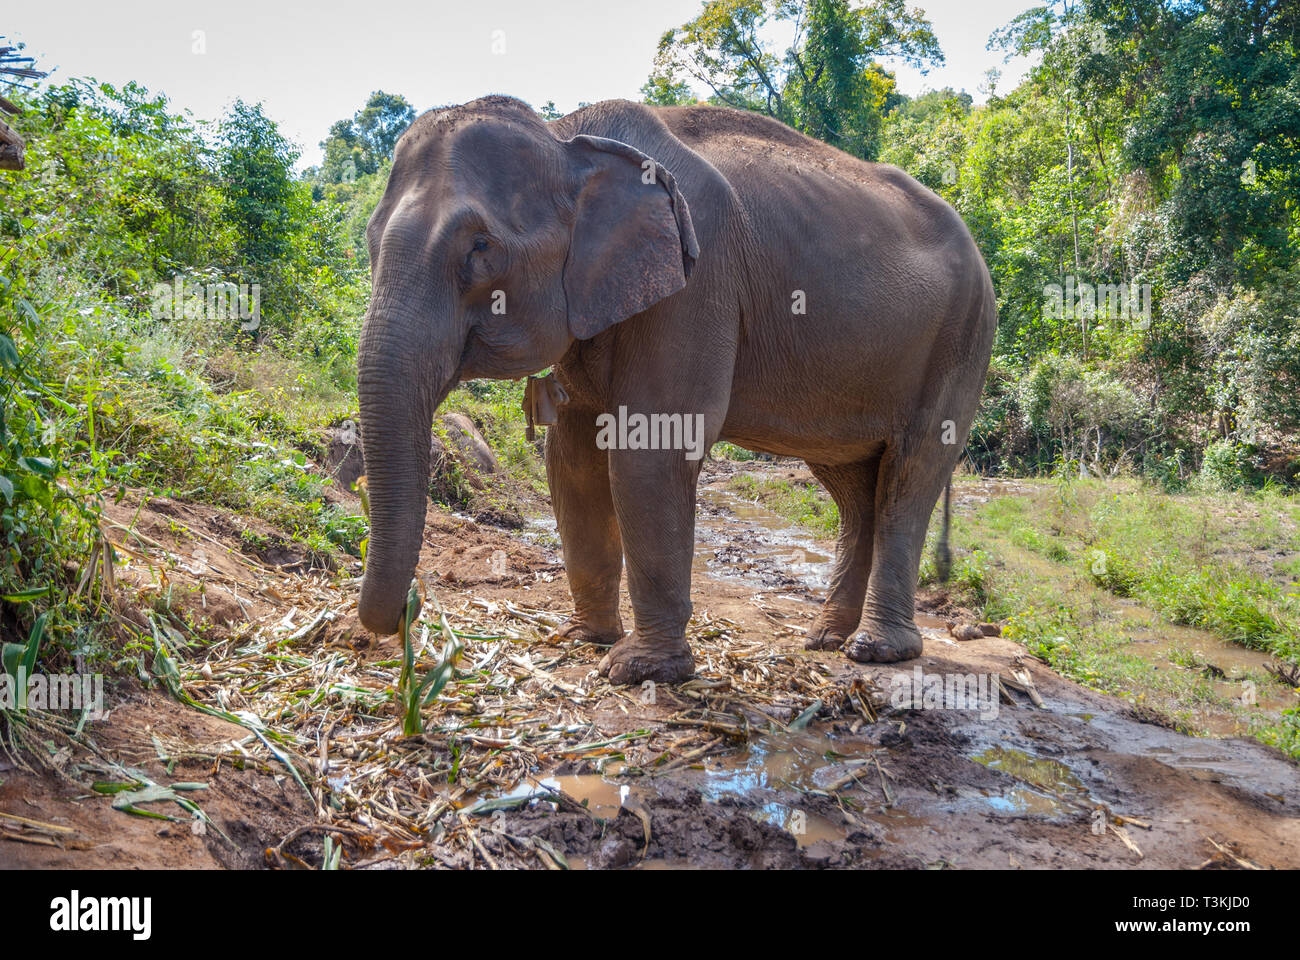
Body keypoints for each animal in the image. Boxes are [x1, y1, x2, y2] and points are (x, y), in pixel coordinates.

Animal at [355, 95, 996, 686]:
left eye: (479, 247)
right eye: (369, 240)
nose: (410, 614)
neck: (567, 139)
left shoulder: (697, 282)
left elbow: (648, 451)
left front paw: (637, 668)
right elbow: (573, 460)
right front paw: (583, 637)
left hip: (963, 339)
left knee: (911, 472)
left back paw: (876, 650)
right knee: (852, 486)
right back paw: (825, 639)